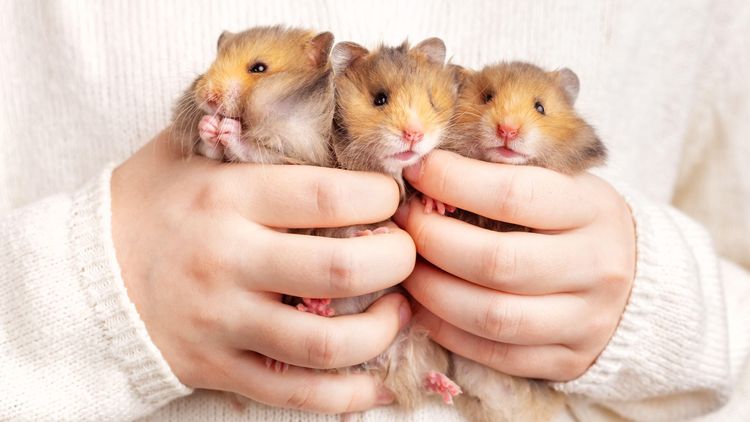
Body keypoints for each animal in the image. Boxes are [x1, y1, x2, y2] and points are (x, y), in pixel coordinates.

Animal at [171, 25, 335, 166]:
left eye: (259, 68)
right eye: (212, 64)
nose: (208, 97)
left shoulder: (300, 152)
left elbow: (252, 151)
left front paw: (227, 127)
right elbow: (211, 150)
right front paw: (207, 124)